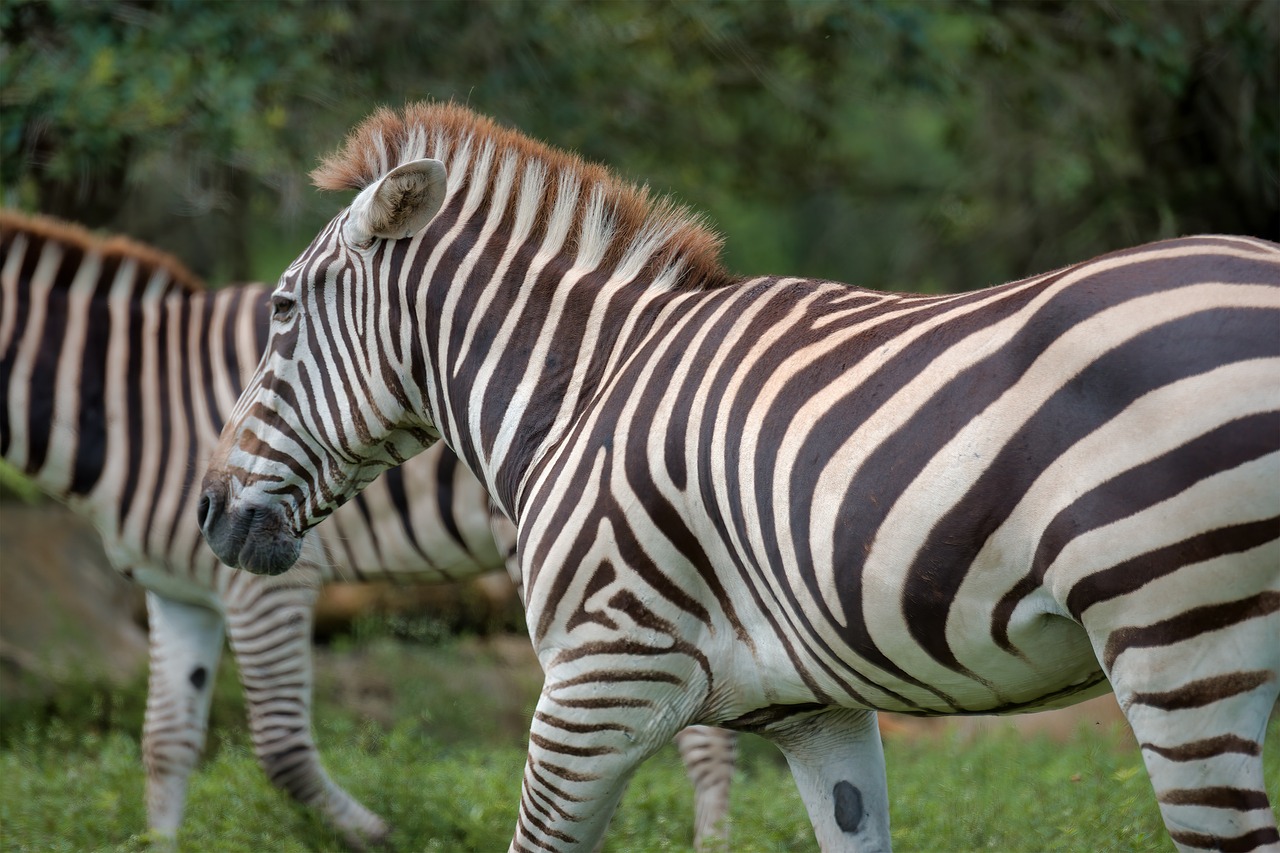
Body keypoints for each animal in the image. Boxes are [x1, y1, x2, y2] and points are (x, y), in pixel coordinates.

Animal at [0, 209, 738, 851]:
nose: (206, 510)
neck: (135, 400)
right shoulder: (176, 591)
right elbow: (165, 745)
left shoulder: (267, 584)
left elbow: (281, 749)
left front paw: (380, 833)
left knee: (703, 736)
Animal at [196, 102, 1280, 852]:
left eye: (281, 311)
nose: (208, 512)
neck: (585, 390)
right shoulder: (818, 712)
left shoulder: (597, 676)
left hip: (1176, 637)